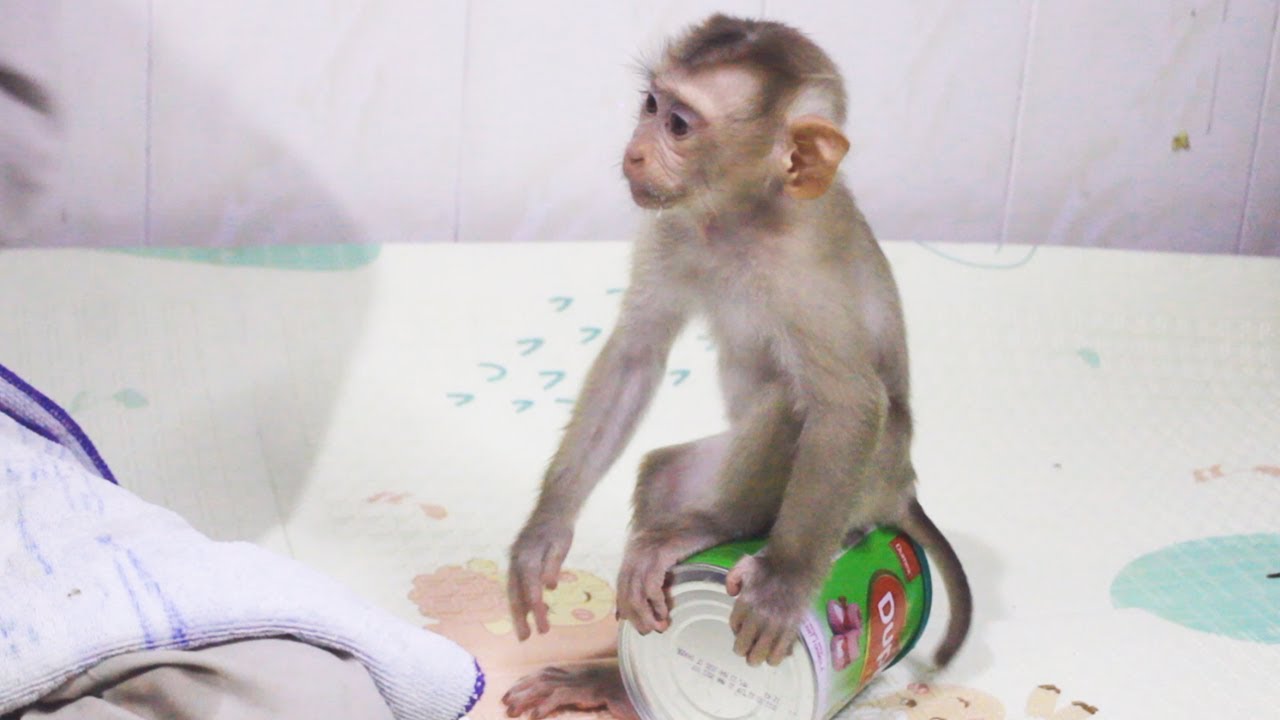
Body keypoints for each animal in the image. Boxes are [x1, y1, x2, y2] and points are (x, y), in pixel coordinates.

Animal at [504, 14, 971, 718]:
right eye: (650, 105)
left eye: (679, 125)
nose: (635, 150)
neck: (738, 217)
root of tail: (904, 486)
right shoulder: (673, 230)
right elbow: (635, 354)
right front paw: (544, 531)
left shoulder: (802, 274)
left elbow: (849, 403)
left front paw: (781, 585)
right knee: (665, 472)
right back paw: (613, 669)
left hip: (859, 489)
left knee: (793, 401)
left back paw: (711, 530)